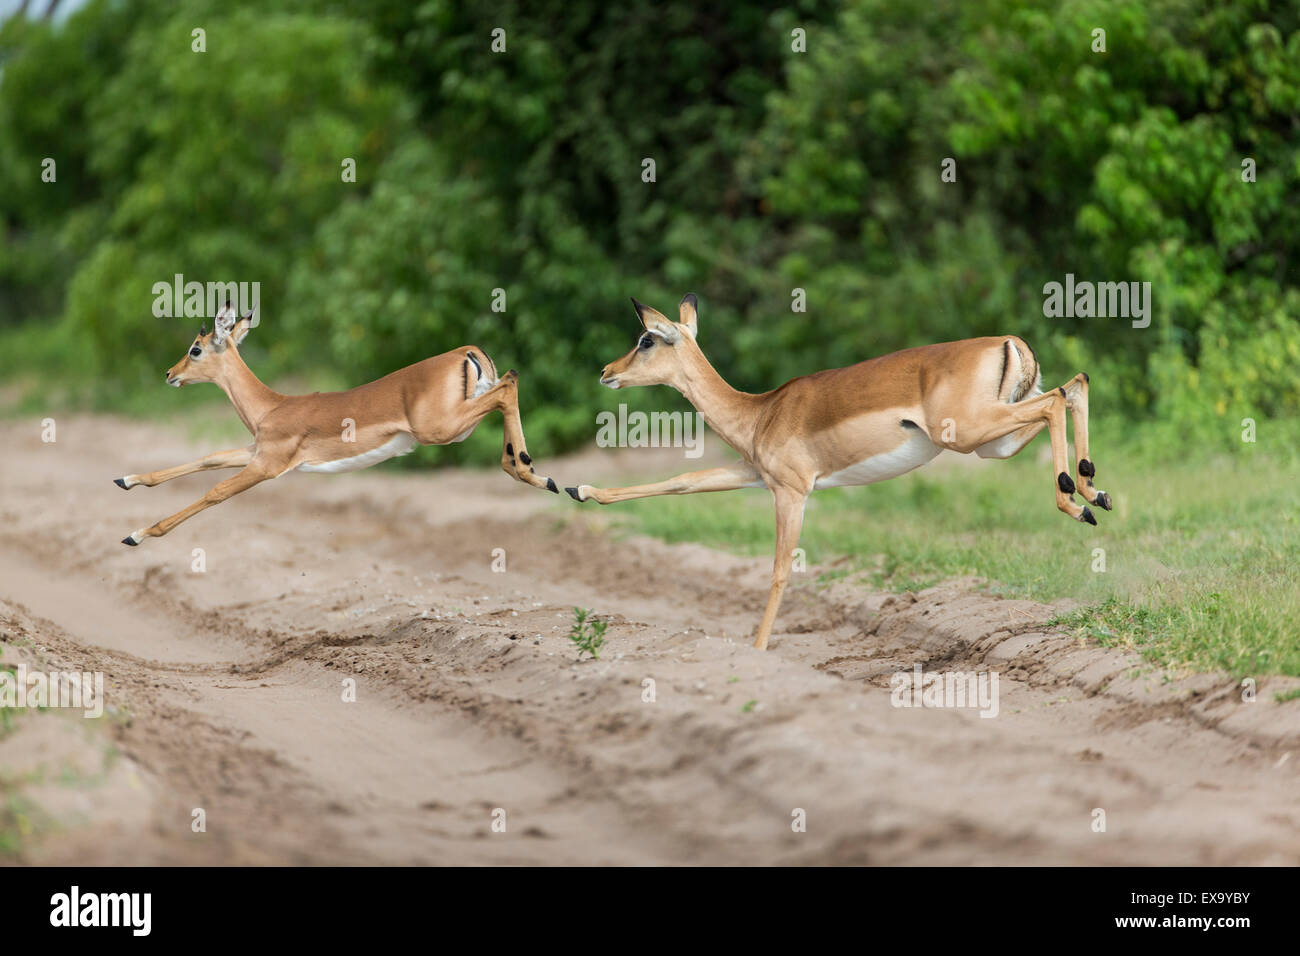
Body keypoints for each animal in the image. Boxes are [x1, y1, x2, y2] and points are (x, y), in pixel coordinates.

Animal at [114, 302, 559, 545]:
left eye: (195, 348)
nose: (169, 373)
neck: (271, 407)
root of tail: (466, 351)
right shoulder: (256, 451)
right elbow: (209, 458)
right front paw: (126, 479)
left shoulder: (268, 465)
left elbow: (216, 491)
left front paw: (136, 534)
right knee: (509, 384)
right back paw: (543, 477)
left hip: (443, 429)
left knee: (509, 385)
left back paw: (533, 472)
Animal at [566, 294, 1112, 650]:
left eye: (645, 339)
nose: (606, 372)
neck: (759, 412)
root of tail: (1009, 341)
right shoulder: (754, 474)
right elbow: (681, 482)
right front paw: (581, 489)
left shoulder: (791, 491)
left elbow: (779, 570)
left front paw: (757, 650)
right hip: (991, 443)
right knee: (1074, 386)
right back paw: (1093, 493)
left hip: (970, 434)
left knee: (1057, 400)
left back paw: (1075, 502)